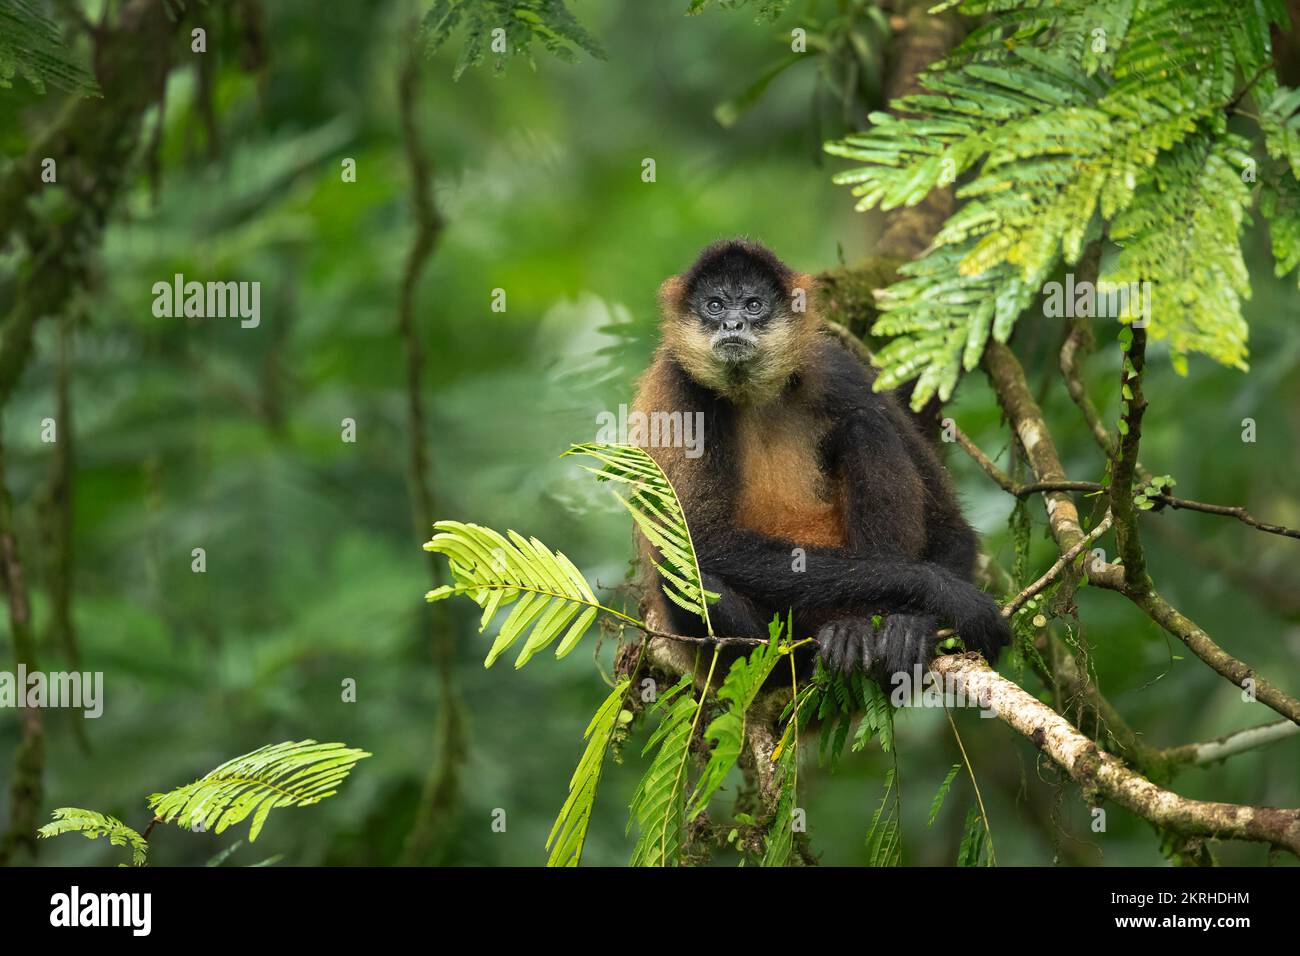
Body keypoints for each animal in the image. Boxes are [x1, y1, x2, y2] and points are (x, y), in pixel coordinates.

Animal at [630, 238, 1009, 684]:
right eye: (715, 306)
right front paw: (942, 591)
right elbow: (702, 545)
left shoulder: (834, 366)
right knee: (682, 574)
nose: (733, 325)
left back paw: (879, 625)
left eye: (754, 305)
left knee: (865, 424)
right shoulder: (680, 388)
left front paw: (921, 619)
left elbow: (950, 527)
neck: (751, 394)